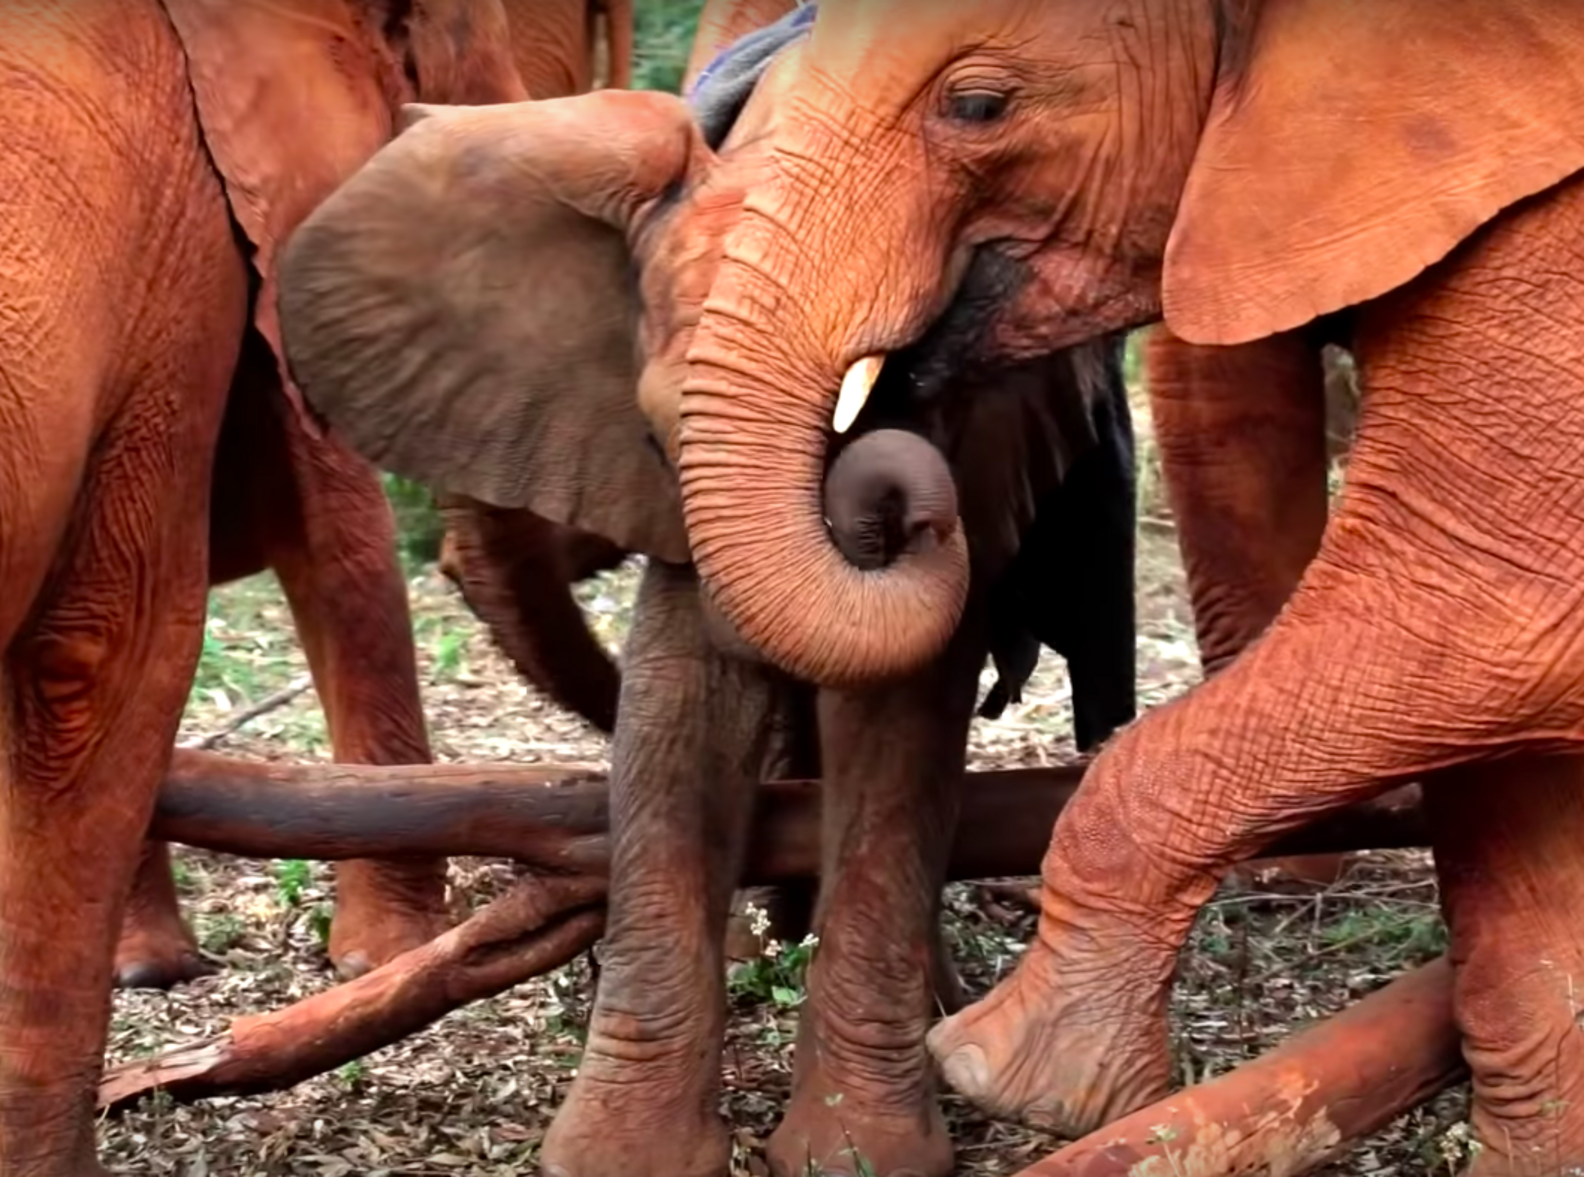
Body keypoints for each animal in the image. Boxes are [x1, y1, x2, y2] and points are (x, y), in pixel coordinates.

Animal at [274, 18, 1141, 1177]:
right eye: (649, 442)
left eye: (898, 399)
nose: (901, 508)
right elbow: (680, 709)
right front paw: (618, 1158)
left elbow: (899, 723)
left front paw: (854, 1157)